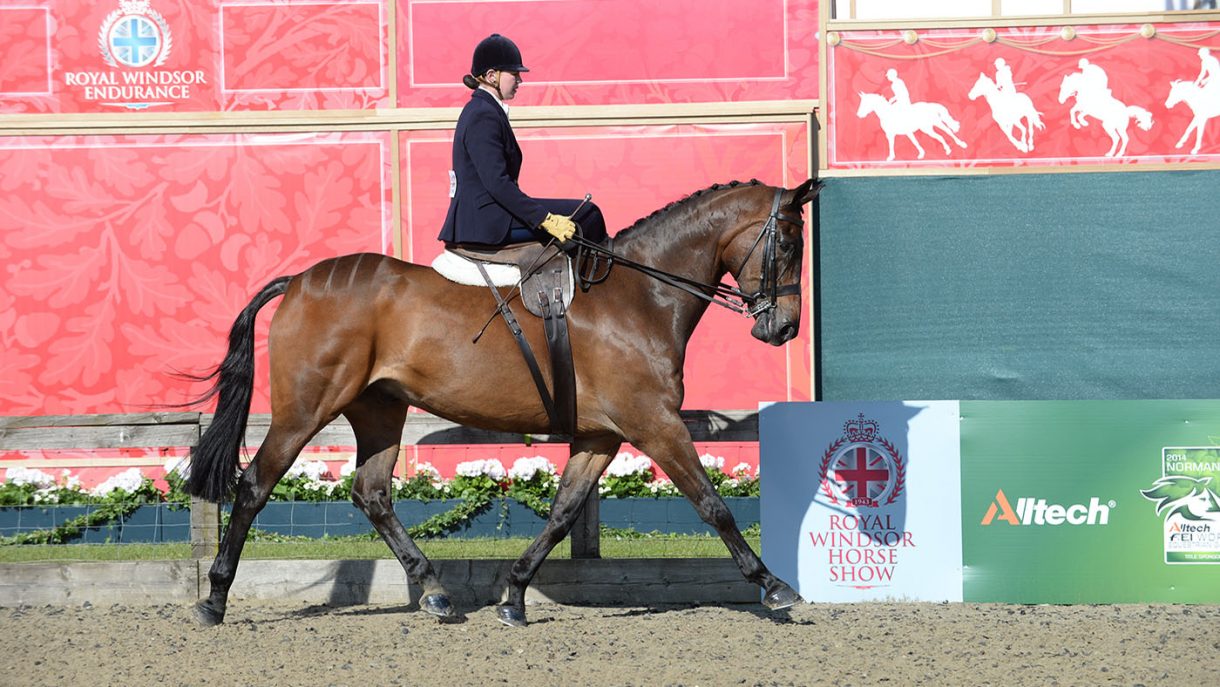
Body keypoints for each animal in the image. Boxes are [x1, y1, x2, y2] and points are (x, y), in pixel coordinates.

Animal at [184, 178, 821, 628]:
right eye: (790, 242)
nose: (784, 328)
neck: (641, 294)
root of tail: (297, 281)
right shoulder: (654, 424)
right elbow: (713, 505)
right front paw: (772, 585)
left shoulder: (601, 435)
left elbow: (563, 515)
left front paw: (513, 595)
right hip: (305, 409)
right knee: (254, 486)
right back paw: (214, 599)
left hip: (379, 409)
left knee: (372, 493)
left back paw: (435, 591)